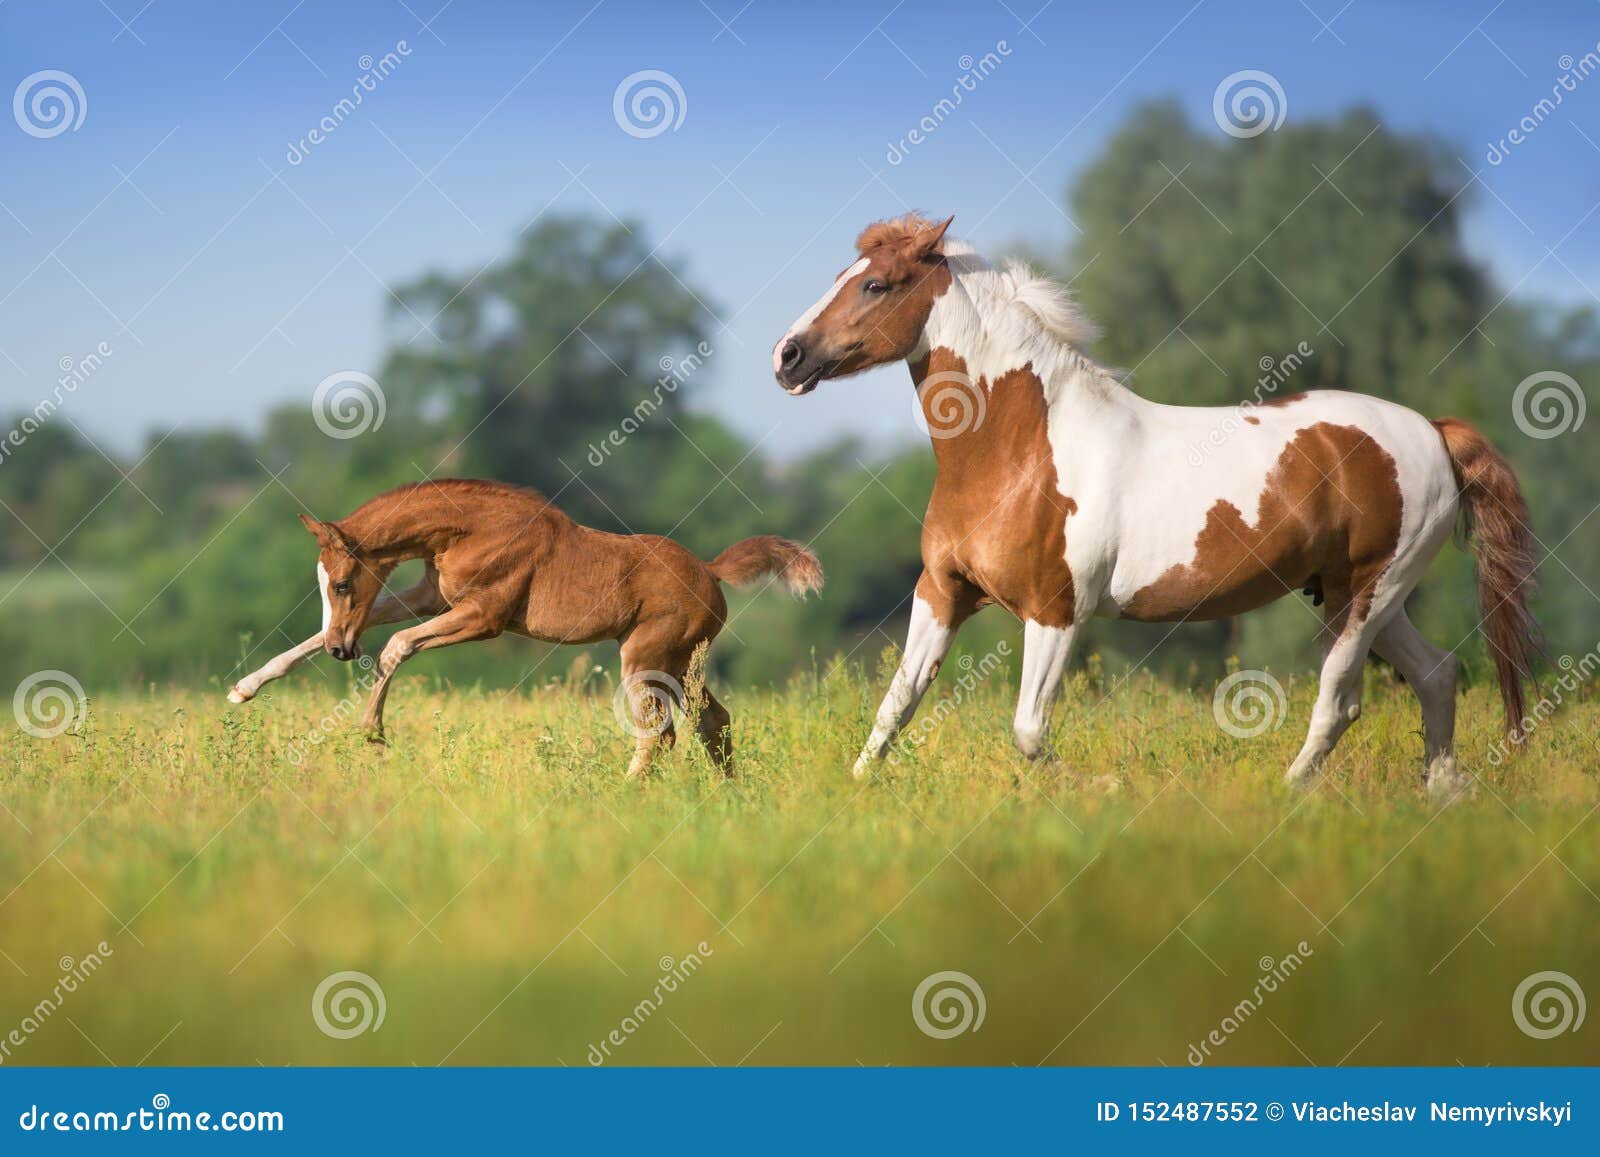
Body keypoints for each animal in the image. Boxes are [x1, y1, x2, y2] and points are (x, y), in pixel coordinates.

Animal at [226, 479, 822, 777]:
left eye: (343, 583)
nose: (340, 651)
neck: (466, 528)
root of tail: (711, 571)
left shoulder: (484, 617)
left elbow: (396, 646)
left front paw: (373, 732)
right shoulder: (430, 598)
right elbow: (377, 630)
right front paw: (244, 688)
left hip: (645, 659)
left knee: (662, 730)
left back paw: (627, 792)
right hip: (679, 662)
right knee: (710, 720)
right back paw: (729, 794)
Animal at [773, 214, 1537, 798]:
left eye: (876, 283)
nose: (787, 356)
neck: (1018, 451)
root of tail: (1431, 431)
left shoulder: (1056, 609)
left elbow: (1029, 730)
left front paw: (1106, 788)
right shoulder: (943, 591)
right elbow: (896, 706)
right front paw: (853, 792)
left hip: (1367, 596)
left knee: (1339, 701)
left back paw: (1291, 792)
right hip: (1366, 594)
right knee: (1437, 674)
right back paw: (1443, 792)